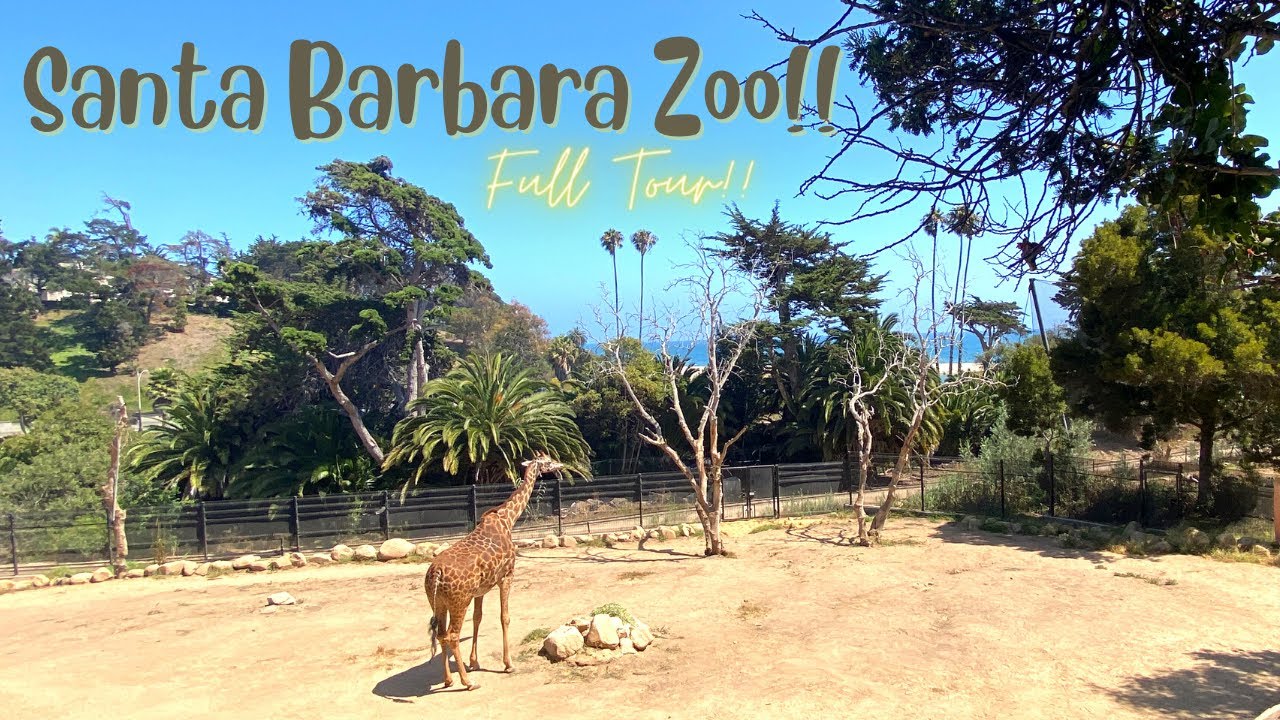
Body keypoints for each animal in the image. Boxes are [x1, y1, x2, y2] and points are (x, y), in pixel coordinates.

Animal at [424, 453, 561, 690]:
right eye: (548, 461)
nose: (561, 465)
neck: (507, 520)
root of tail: (436, 575)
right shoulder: (507, 575)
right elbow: (504, 617)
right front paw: (508, 664)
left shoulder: (481, 590)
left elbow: (478, 618)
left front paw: (474, 662)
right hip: (459, 601)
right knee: (452, 635)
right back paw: (468, 682)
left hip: (438, 603)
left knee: (441, 634)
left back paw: (449, 680)